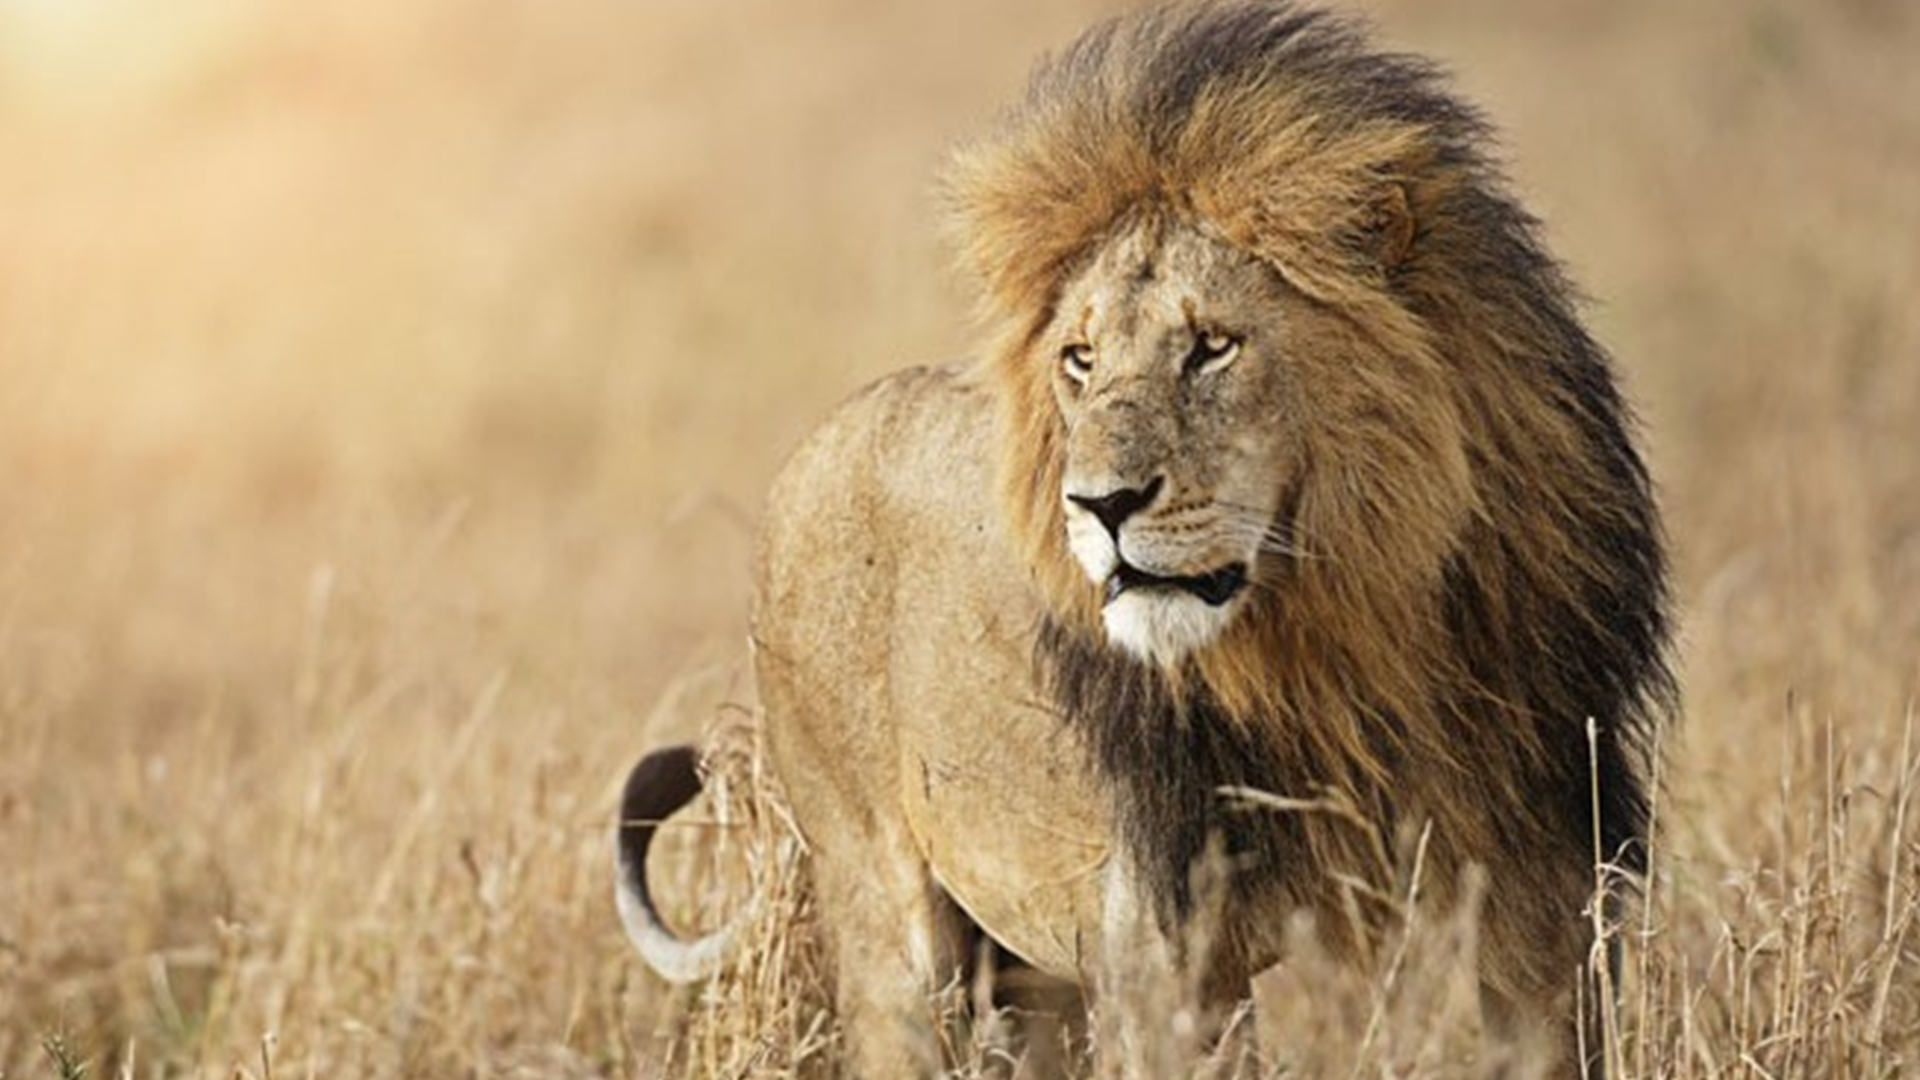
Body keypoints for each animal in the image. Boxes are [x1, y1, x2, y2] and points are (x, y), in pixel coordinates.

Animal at [615, 3, 1674, 1077]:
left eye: (1213, 346)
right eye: (1080, 359)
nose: (1101, 504)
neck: (1349, 650)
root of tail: (809, 450)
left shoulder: (1538, 901)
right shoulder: (1163, 950)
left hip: (1035, 980)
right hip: (892, 922)